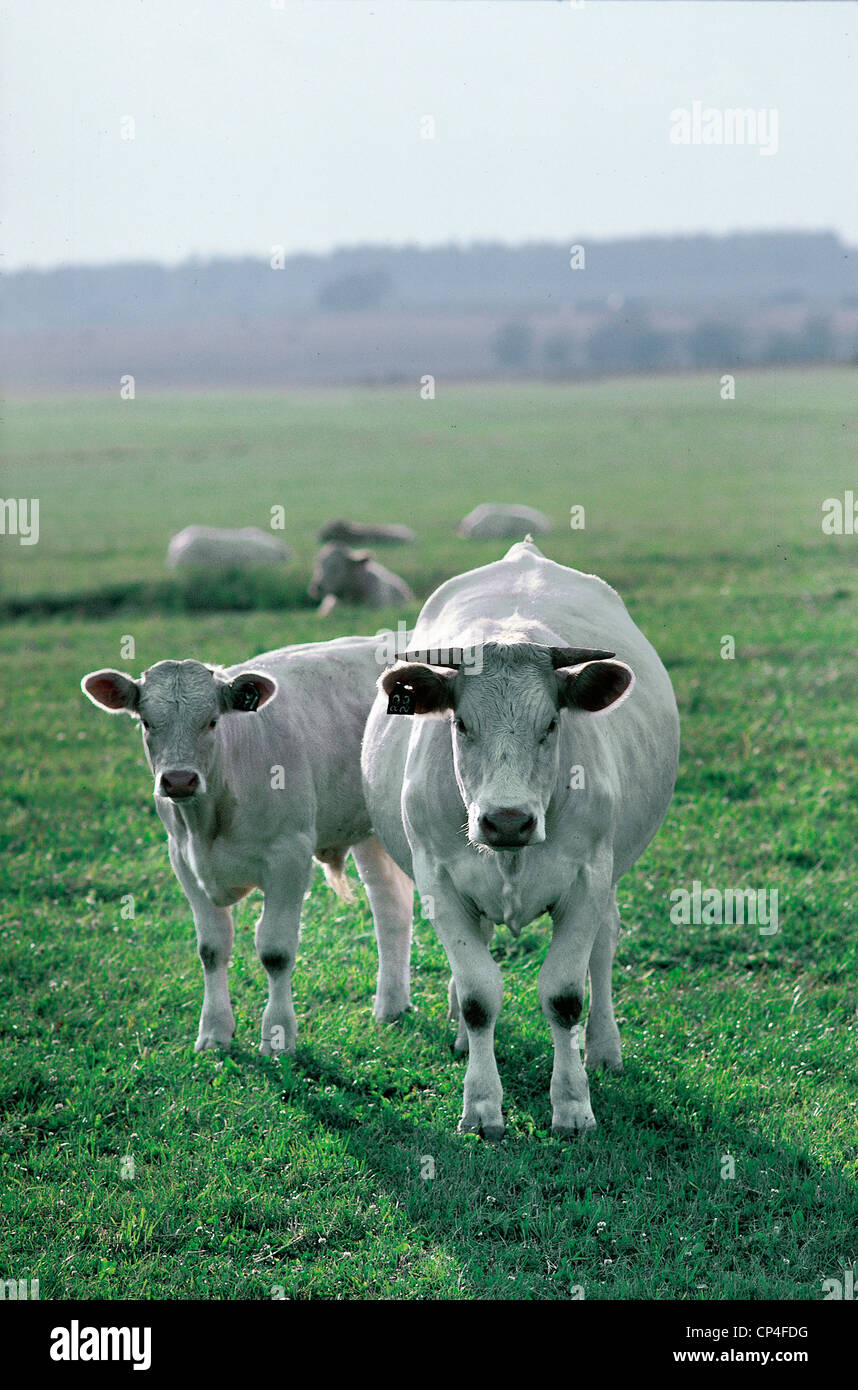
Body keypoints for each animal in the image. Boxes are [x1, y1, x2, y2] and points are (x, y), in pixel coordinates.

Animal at [81, 637, 413, 1054]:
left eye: (211, 721)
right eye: (146, 722)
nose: (178, 780)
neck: (207, 822)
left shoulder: (289, 857)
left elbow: (275, 950)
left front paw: (278, 1035)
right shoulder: (183, 860)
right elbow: (212, 949)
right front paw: (214, 1032)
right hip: (369, 832)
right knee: (391, 907)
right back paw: (390, 1006)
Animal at [361, 539, 679, 1140]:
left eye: (551, 724)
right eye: (461, 724)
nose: (507, 821)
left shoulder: (587, 880)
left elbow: (564, 996)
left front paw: (573, 1104)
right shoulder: (440, 883)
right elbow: (478, 995)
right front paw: (482, 1104)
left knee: (604, 947)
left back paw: (604, 1048)